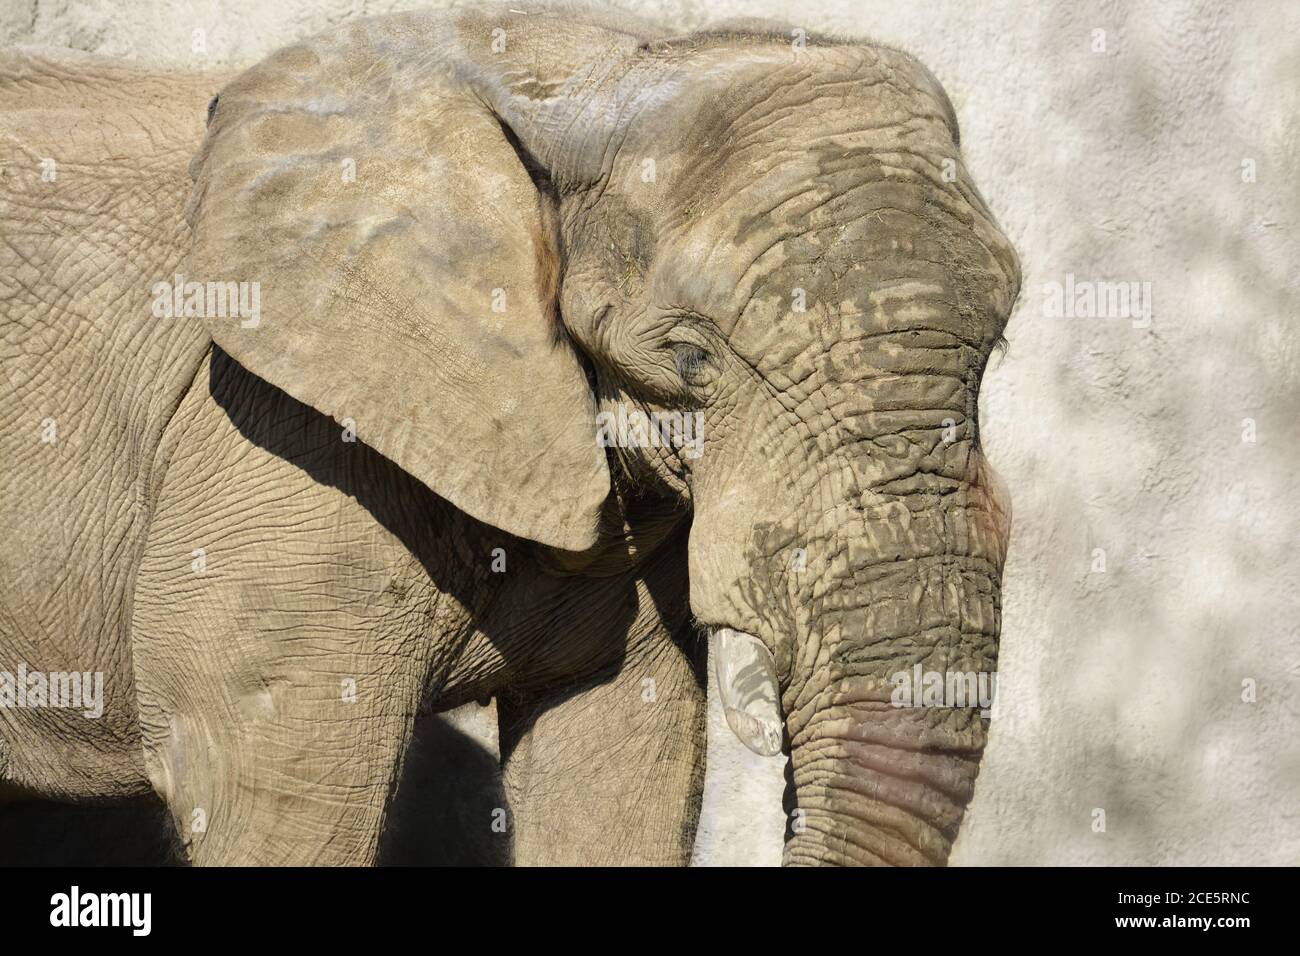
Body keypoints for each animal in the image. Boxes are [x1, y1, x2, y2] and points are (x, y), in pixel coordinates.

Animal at [0, 3, 1020, 866]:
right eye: (690, 357)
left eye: (999, 346)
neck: (585, 75)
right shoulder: (277, 437)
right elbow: (272, 782)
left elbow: (621, 758)